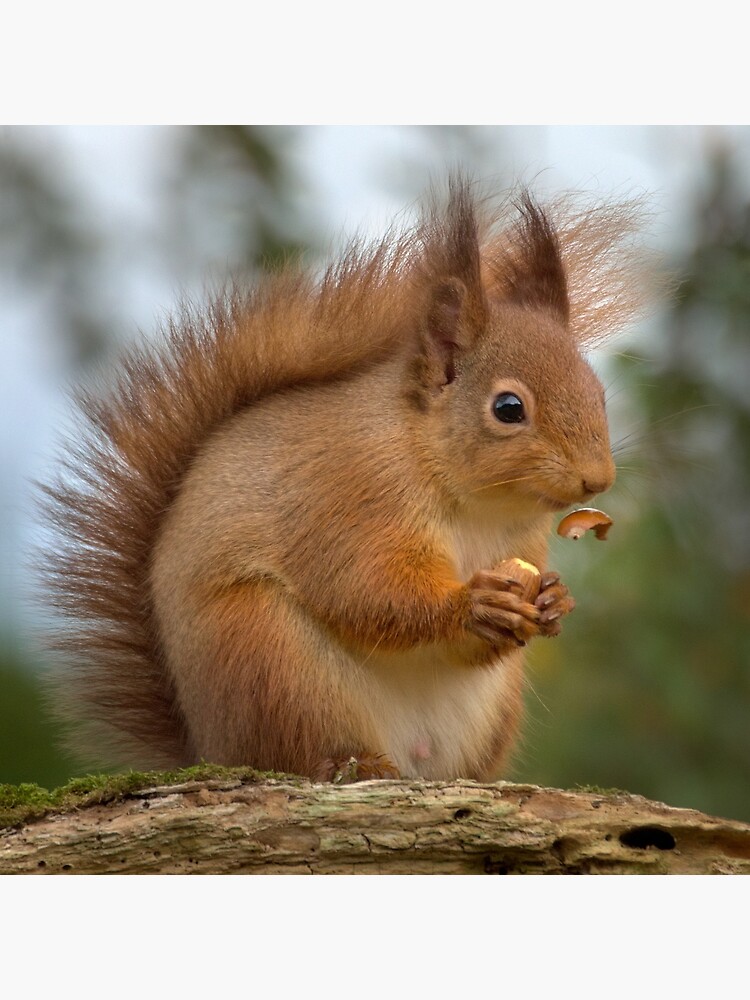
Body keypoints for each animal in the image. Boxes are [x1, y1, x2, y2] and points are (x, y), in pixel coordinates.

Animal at [40, 175, 650, 783]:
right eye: (508, 408)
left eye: (597, 394)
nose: (597, 479)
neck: (473, 500)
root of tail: (210, 746)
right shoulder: (353, 496)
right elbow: (367, 590)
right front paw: (472, 606)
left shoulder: (522, 541)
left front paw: (555, 600)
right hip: (269, 662)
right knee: (298, 752)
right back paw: (352, 763)